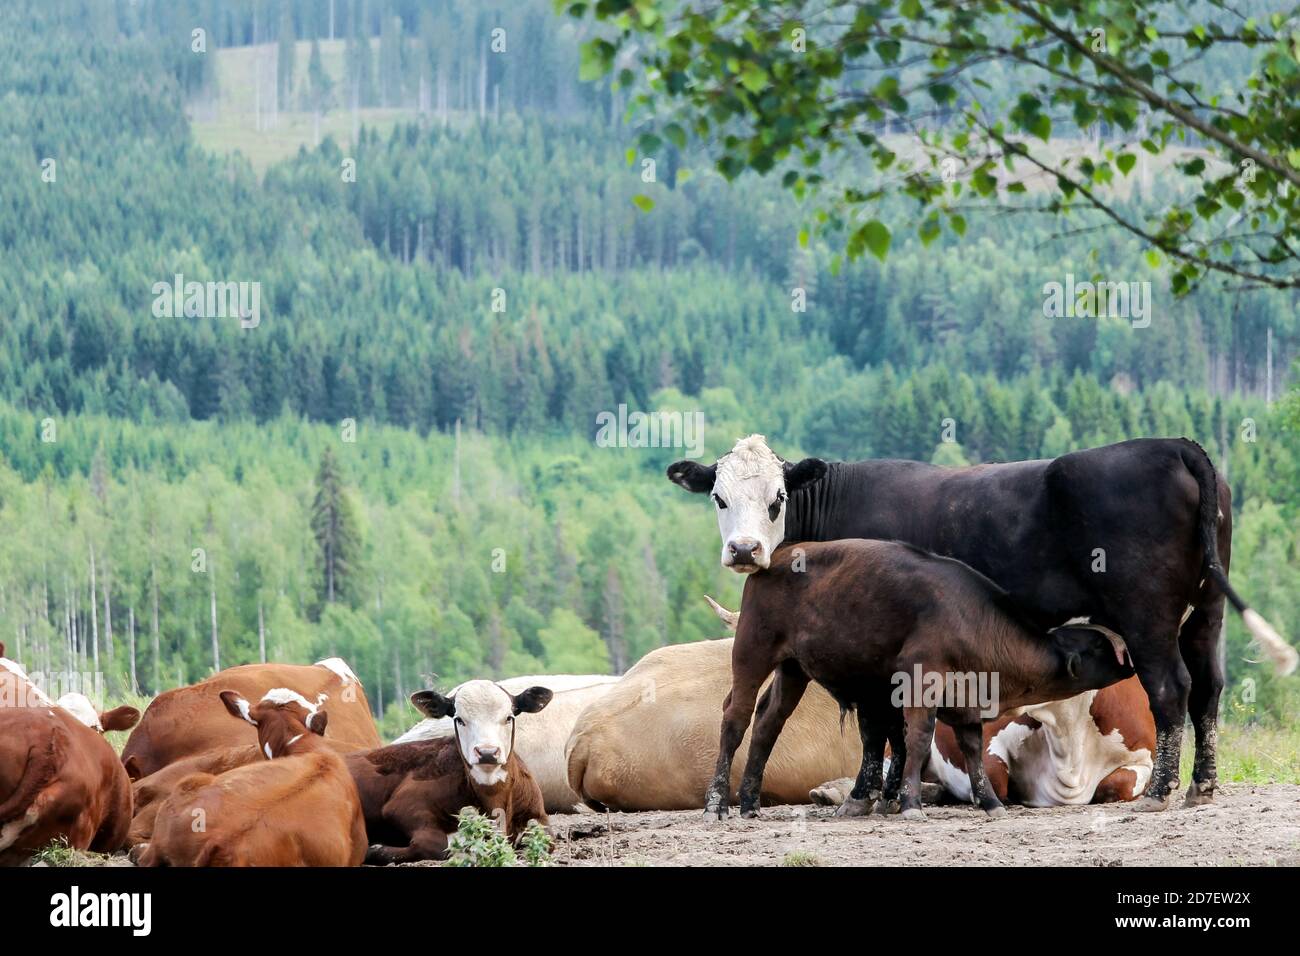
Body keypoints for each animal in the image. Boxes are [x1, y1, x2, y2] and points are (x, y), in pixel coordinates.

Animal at [347, 681, 550, 864]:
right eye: (459, 719)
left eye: (509, 717)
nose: (487, 752)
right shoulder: (402, 805)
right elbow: (435, 845)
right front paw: (373, 849)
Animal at [705, 539, 1136, 821]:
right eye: (1099, 648)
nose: (1131, 658)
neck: (969, 619)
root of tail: (775, 556)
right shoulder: (920, 682)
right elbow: (916, 737)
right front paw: (911, 803)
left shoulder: (965, 700)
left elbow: (972, 747)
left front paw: (990, 802)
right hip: (751, 653)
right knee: (735, 718)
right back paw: (717, 804)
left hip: (792, 670)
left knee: (768, 723)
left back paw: (749, 803)